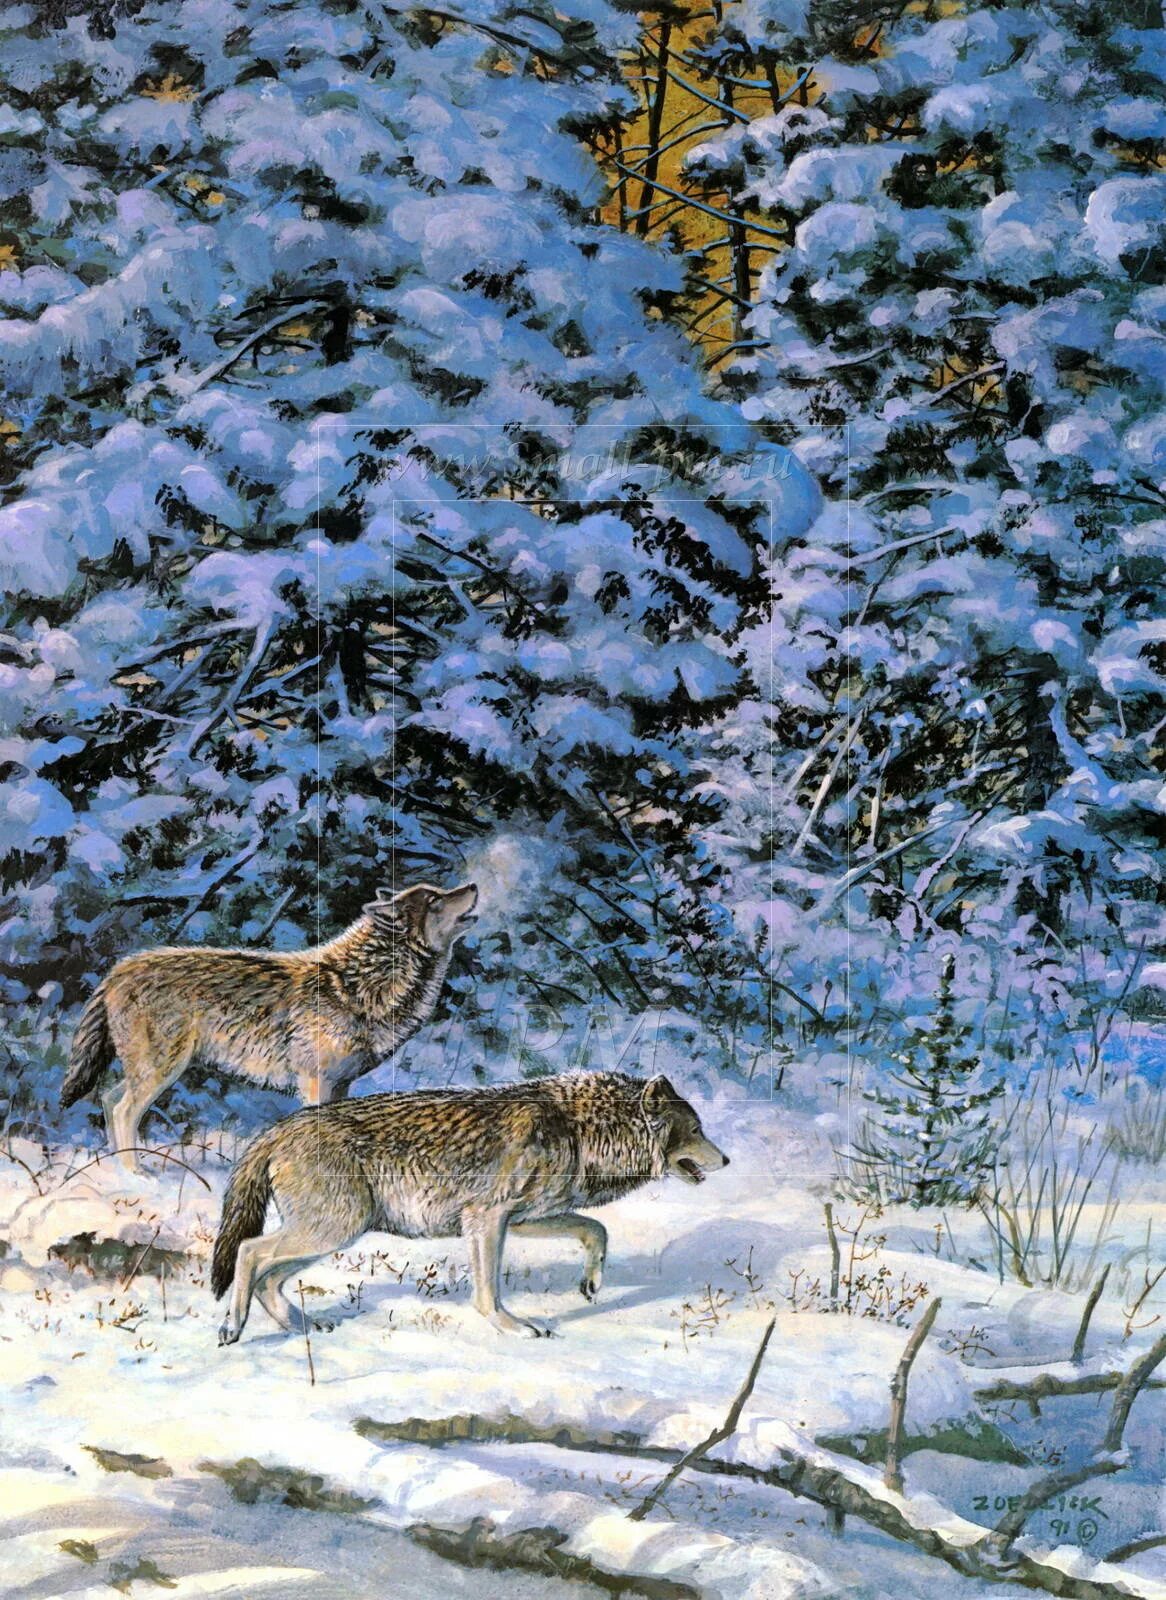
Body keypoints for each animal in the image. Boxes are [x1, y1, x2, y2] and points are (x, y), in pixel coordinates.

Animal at [60, 881, 478, 1171]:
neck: (359, 983)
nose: (473, 885)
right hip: (162, 1071)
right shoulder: (316, 1081)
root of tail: (120, 968)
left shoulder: (341, 1084)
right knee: (122, 1110)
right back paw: (136, 1174)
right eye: (435, 900)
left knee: (108, 1098)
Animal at [211, 1070, 729, 1343]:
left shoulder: (523, 1219)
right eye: (697, 1130)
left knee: (268, 1277)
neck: (580, 1129)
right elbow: (487, 1293)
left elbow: (596, 1230)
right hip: (335, 1229)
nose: (726, 1160)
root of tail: (276, 1128)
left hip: (333, 1234)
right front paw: (514, 1327)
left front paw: (591, 1283)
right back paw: (232, 1328)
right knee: (249, 1253)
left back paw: (303, 1325)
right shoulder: (486, 1218)